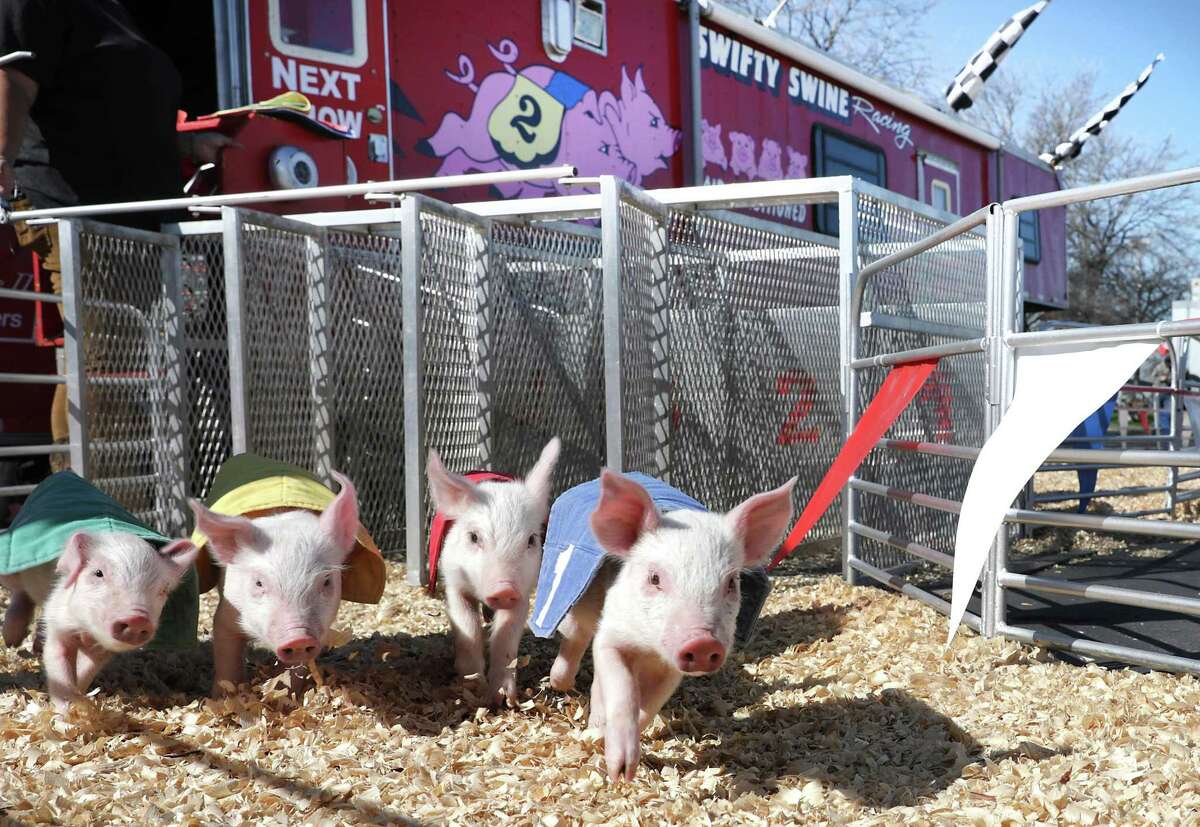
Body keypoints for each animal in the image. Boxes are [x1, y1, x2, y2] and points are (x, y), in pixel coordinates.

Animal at [11, 531, 198, 710]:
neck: (87, 632)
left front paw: (80, 701)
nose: (138, 619)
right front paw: (67, 711)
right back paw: (12, 640)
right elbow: (59, 663)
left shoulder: (102, 650)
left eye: (163, 590)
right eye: (98, 573)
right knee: (19, 591)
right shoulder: (57, 621)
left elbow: (86, 670)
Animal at [188, 472, 360, 695]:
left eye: (327, 581)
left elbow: (295, 671)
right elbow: (227, 660)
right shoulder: (227, 613)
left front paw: (286, 694)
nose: (299, 638)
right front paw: (222, 697)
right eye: (259, 583)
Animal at [426, 438, 561, 707]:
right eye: (474, 537)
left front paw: (503, 698)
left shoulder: (523, 591)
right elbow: (467, 627)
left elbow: (506, 635)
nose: (504, 588)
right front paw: (474, 689)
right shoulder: (454, 583)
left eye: (531, 540)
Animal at [551, 471, 795, 781]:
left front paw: (617, 752)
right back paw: (562, 686)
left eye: (731, 583)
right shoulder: (611, 635)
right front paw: (620, 772)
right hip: (583, 607)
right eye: (654, 578)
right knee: (577, 636)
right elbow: (623, 690)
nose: (702, 641)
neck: (649, 647)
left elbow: (649, 705)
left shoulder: (669, 670)